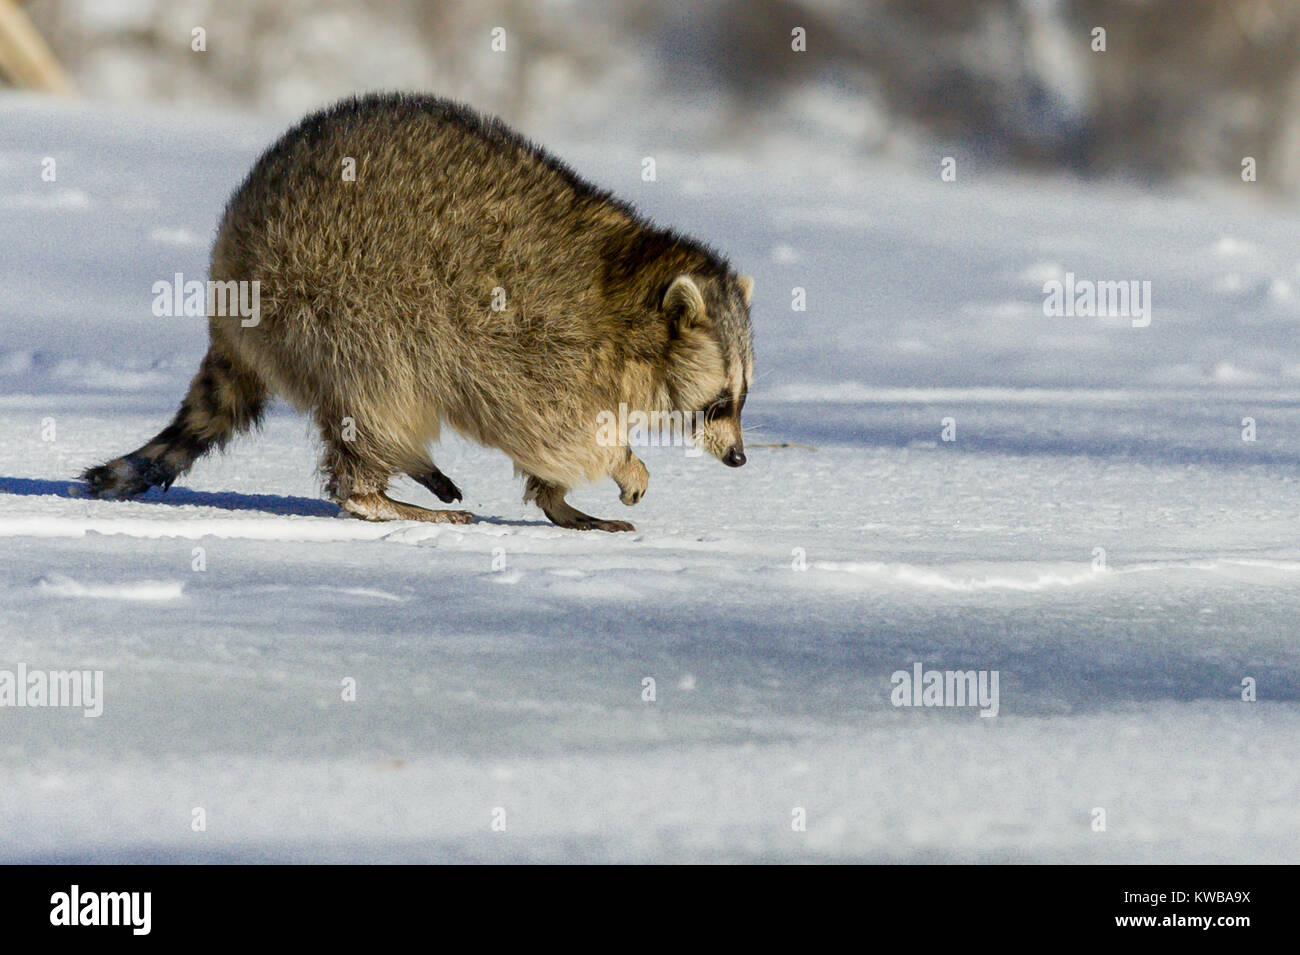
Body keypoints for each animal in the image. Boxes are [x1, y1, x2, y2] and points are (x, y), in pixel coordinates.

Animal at [81, 93, 754, 532]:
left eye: (741, 399)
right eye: (720, 402)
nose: (741, 458)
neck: (634, 295)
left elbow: (548, 449)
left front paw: (556, 500)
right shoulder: (544, 349)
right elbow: (554, 431)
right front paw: (621, 461)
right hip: (324, 306)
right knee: (374, 395)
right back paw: (378, 494)